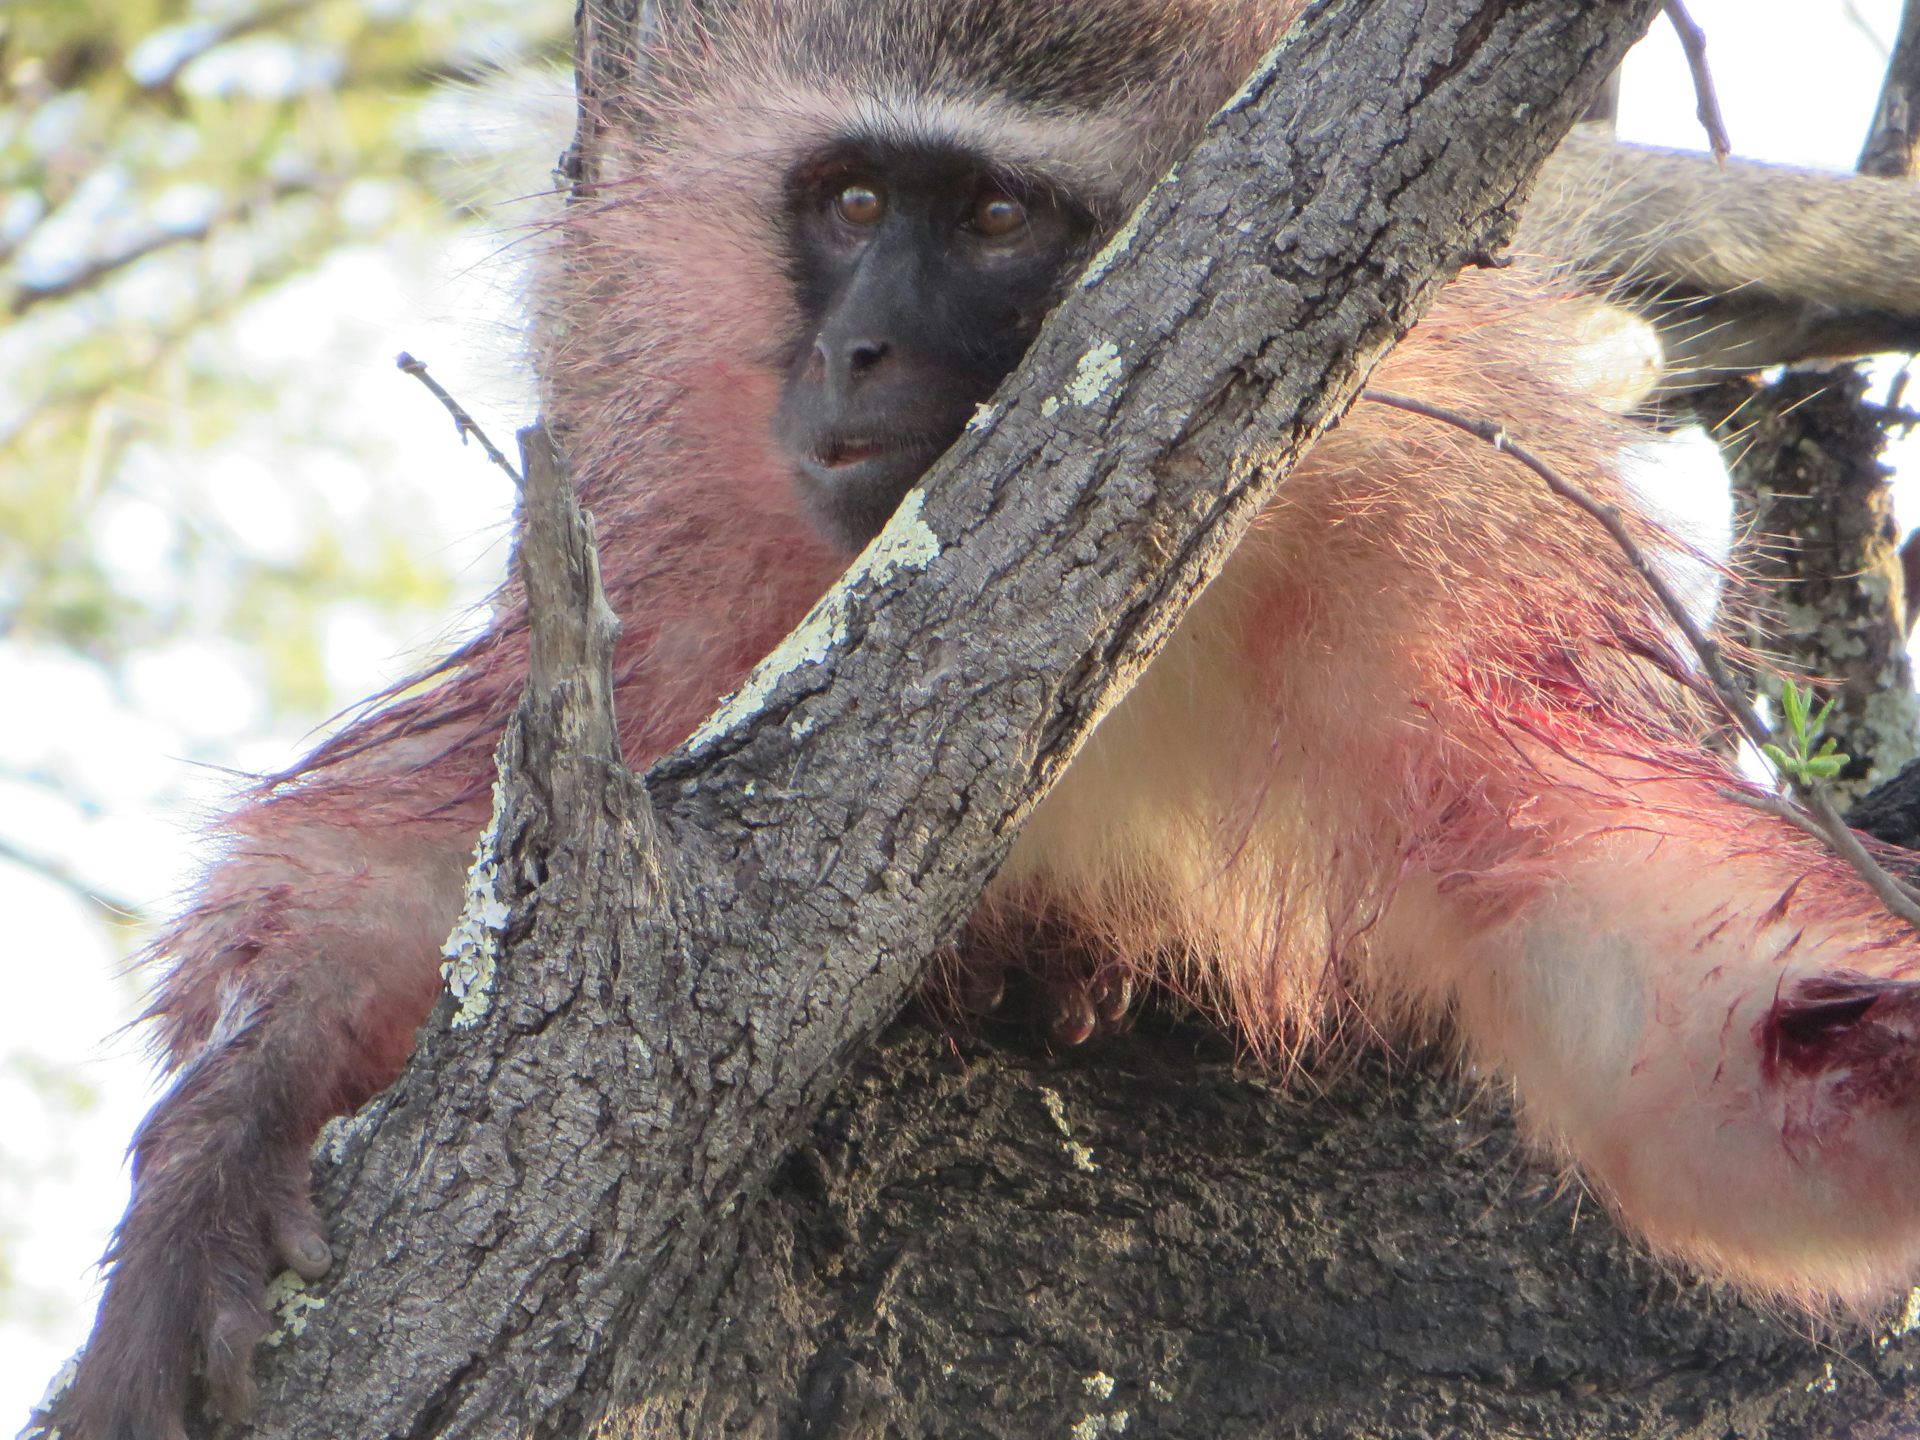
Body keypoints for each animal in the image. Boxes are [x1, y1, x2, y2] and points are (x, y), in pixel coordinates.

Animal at [43, 2, 1920, 1437]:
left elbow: (1613, 971)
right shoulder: (679, 604)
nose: (862, 353)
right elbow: (396, 877)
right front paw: (231, 1126)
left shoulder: (1418, 630)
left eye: (1001, 223)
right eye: (857, 199)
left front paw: (1857, 1061)